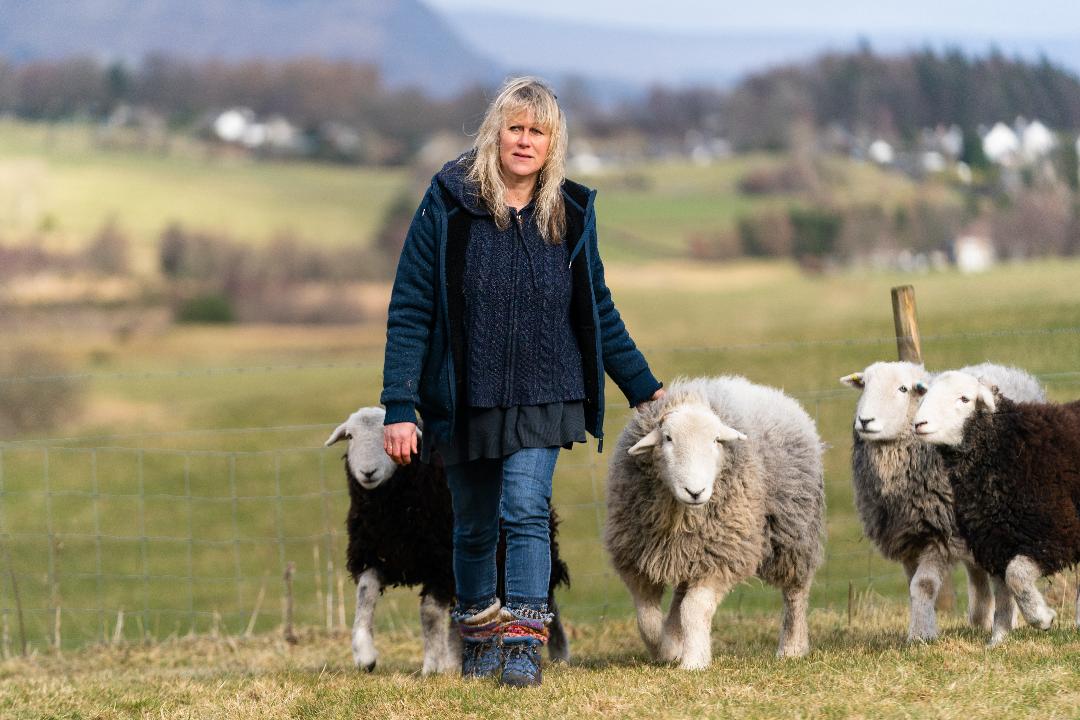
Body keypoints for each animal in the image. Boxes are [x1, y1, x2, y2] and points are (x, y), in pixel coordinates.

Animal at [324, 406, 570, 674]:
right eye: (350, 436)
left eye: (387, 437)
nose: (368, 472)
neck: (394, 516)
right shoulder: (374, 553)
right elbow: (365, 595)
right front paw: (364, 654)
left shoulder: (441, 562)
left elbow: (430, 613)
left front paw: (432, 665)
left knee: (548, 602)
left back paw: (559, 655)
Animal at [605, 376, 825, 669]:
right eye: (668, 438)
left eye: (716, 440)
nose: (695, 491)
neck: (680, 516)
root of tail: (774, 393)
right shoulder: (635, 558)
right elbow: (647, 618)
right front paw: (668, 649)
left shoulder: (723, 555)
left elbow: (694, 609)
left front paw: (694, 661)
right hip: (691, 551)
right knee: (679, 597)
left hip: (793, 531)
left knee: (795, 592)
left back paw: (792, 647)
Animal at [839, 361, 1045, 642]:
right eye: (864, 385)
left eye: (903, 389)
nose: (865, 420)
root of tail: (1006, 369)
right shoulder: (907, 536)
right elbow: (912, 585)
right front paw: (922, 627)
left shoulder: (942, 534)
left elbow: (923, 584)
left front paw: (920, 635)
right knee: (977, 571)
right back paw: (981, 619)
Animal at [913, 370, 1080, 646]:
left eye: (964, 399)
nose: (919, 423)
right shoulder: (996, 540)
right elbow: (1003, 593)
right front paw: (998, 640)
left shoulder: (1055, 534)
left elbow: (1016, 576)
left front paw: (1042, 618)